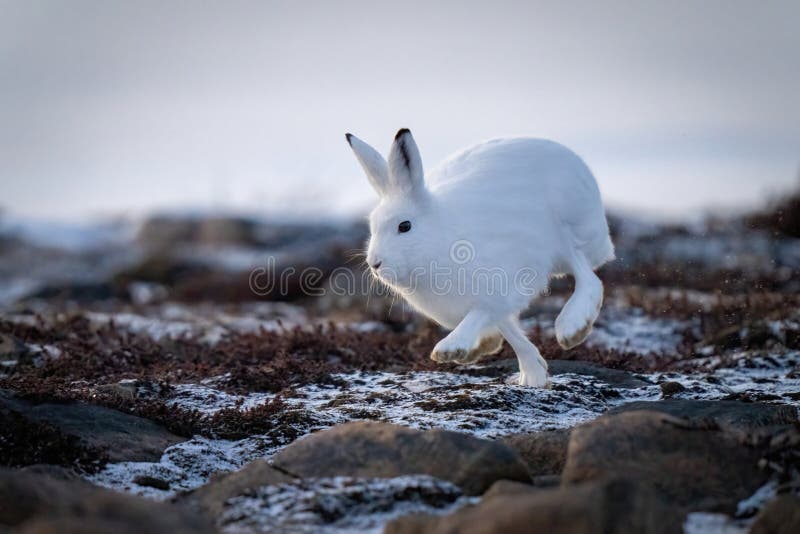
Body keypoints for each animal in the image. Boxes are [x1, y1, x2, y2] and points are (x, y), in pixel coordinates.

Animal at [346, 128, 614, 387]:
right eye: (372, 227)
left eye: (405, 226)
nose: (375, 263)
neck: (440, 235)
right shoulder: (492, 303)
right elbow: (511, 332)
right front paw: (533, 375)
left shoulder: (498, 284)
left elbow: (480, 314)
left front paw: (450, 349)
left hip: (564, 233)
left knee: (587, 276)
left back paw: (572, 328)